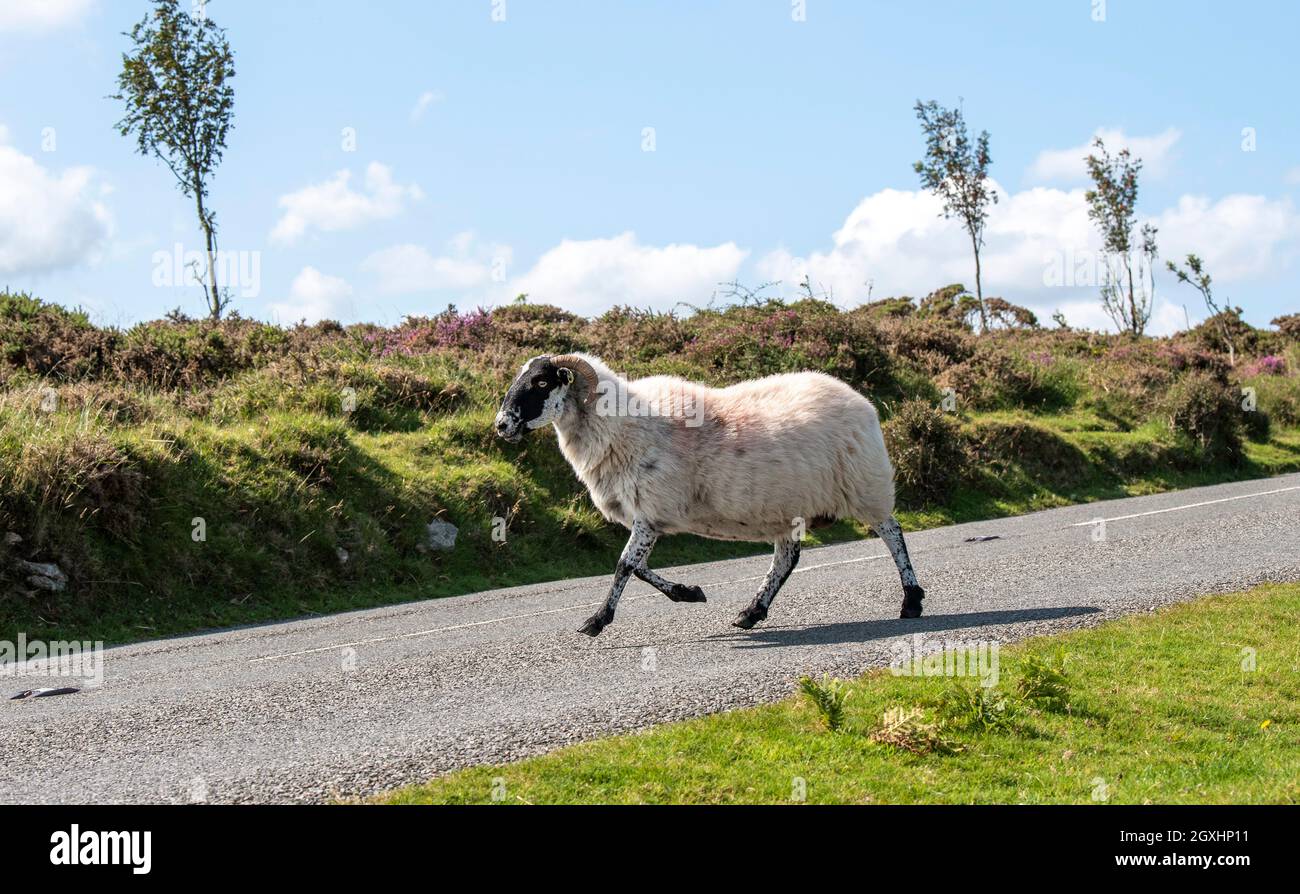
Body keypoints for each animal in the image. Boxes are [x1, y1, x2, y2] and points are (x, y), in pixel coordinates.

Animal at [494, 353, 925, 636]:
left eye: (542, 382)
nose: (501, 425)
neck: (617, 424)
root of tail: (859, 400)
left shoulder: (650, 510)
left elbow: (624, 566)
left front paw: (596, 621)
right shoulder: (651, 515)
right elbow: (639, 567)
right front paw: (689, 593)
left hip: (865, 485)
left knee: (892, 534)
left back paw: (912, 600)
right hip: (787, 506)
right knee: (786, 559)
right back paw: (751, 612)